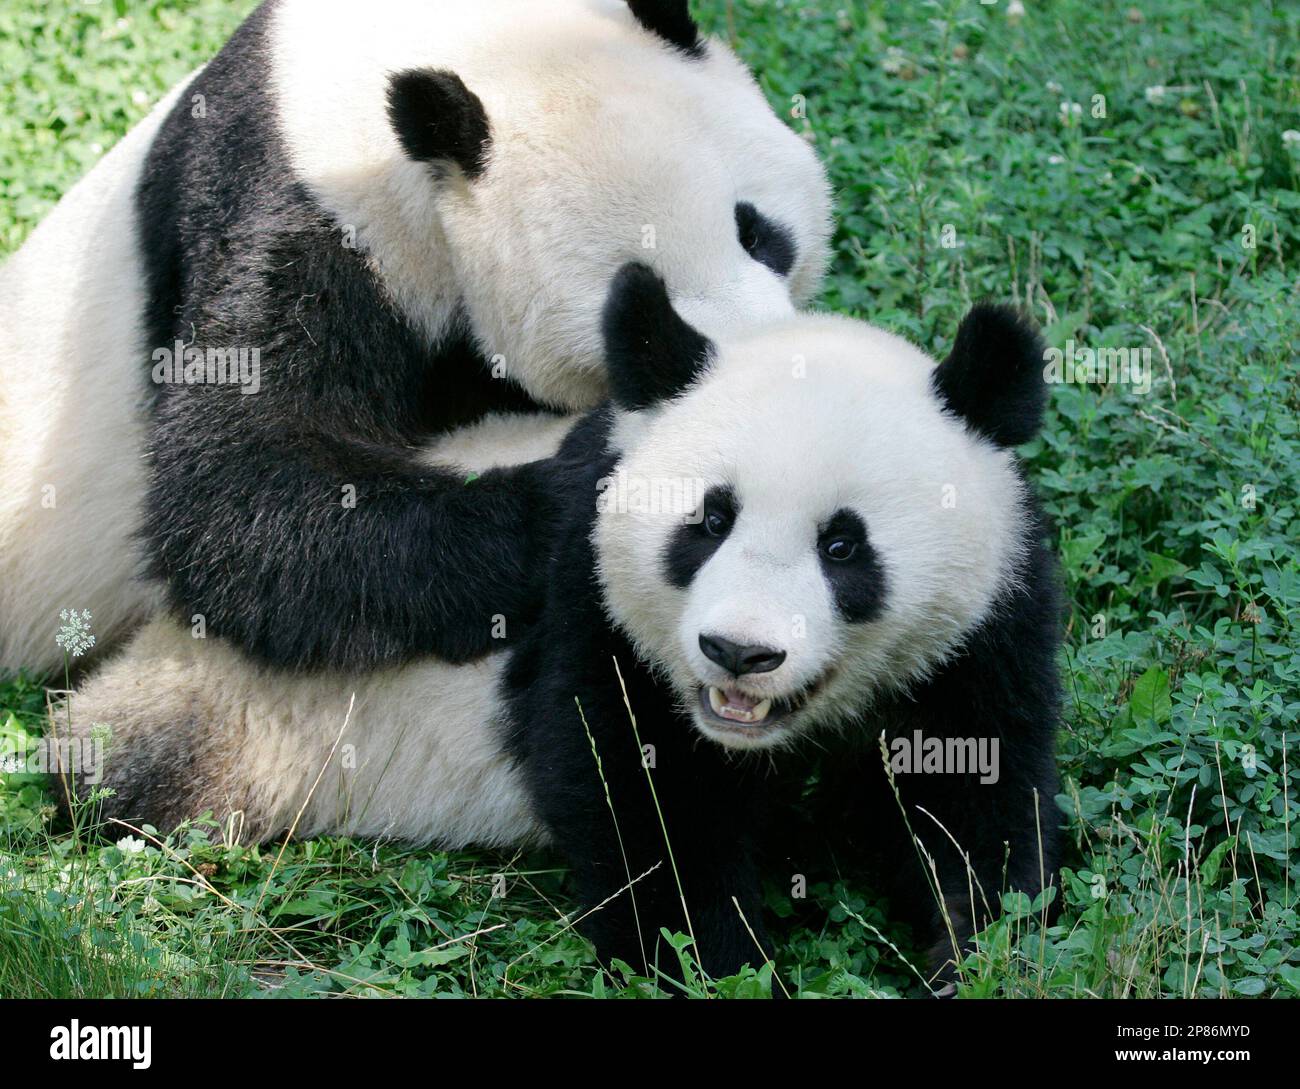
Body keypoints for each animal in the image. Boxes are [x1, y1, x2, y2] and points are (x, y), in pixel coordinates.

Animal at [0, 0, 830, 678]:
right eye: (636, 300)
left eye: (757, 231)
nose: (759, 392)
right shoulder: (299, 206)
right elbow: (236, 489)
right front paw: (587, 476)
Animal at [57, 264, 1063, 989]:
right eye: (708, 520)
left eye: (844, 546)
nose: (740, 653)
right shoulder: (594, 603)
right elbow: (643, 808)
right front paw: (721, 967)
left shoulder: (983, 628)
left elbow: (974, 799)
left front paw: (977, 956)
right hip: (236, 711)